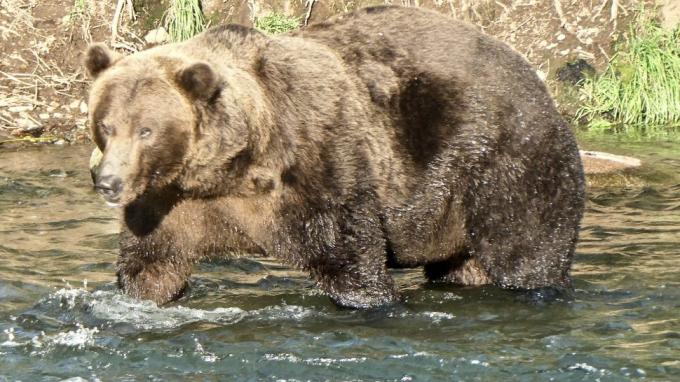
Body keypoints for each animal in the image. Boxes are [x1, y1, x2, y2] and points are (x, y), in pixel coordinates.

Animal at [85, 5, 584, 308]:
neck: (233, 170)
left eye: (146, 129)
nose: (107, 182)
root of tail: (534, 77)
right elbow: (151, 266)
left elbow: (351, 260)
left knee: (525, 251)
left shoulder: (319, 172)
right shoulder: (170, 204)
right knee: (461, 266)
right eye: (106, 125)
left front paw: (370, 299)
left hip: (505, 164)